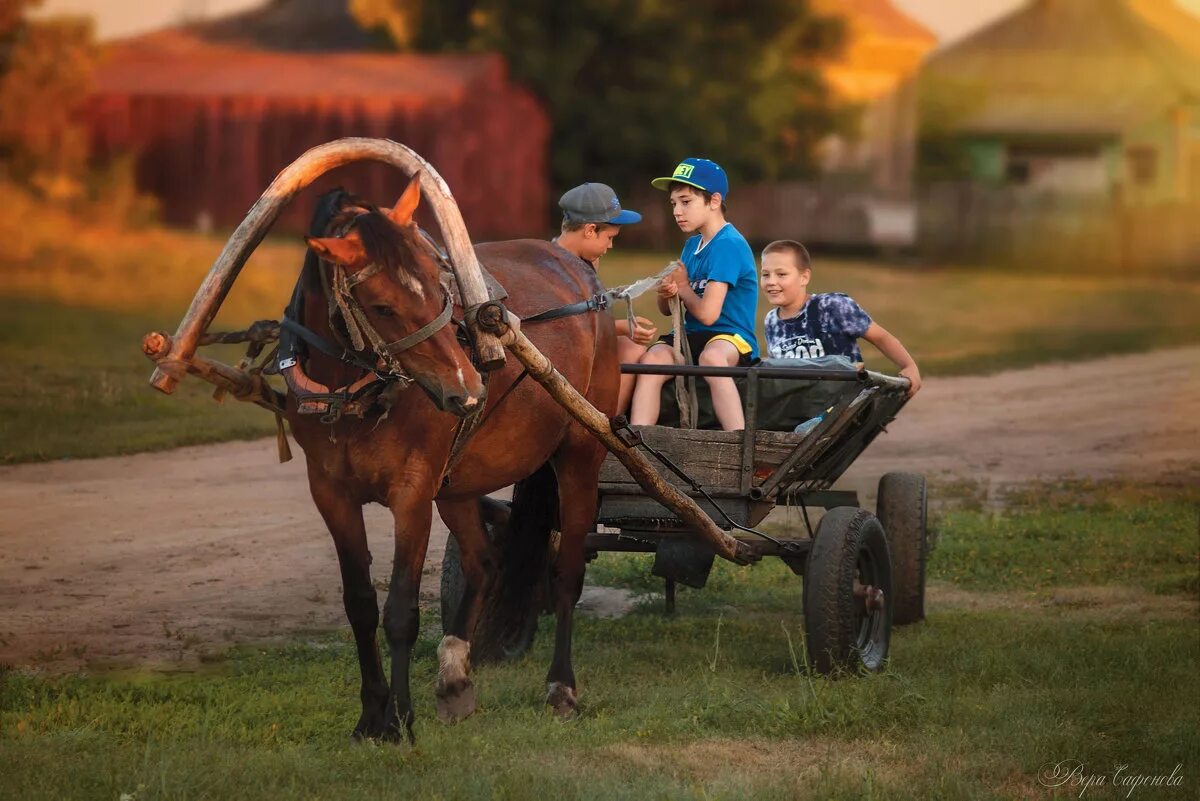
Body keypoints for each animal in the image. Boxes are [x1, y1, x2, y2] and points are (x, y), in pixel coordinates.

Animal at [283, 172, 619, 743]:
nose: (466, 392)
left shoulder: (413, 492)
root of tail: (579, 271)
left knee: (567, 573)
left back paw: (561, 686)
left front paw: (398, 720)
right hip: (459, 483)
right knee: (484, 563)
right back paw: (456, 675)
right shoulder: (331, 493)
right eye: (382, 306)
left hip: (580, 454)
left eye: (441, 289)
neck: (363, 392)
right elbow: (360, 604)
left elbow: (400, 609)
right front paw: (370, 716)